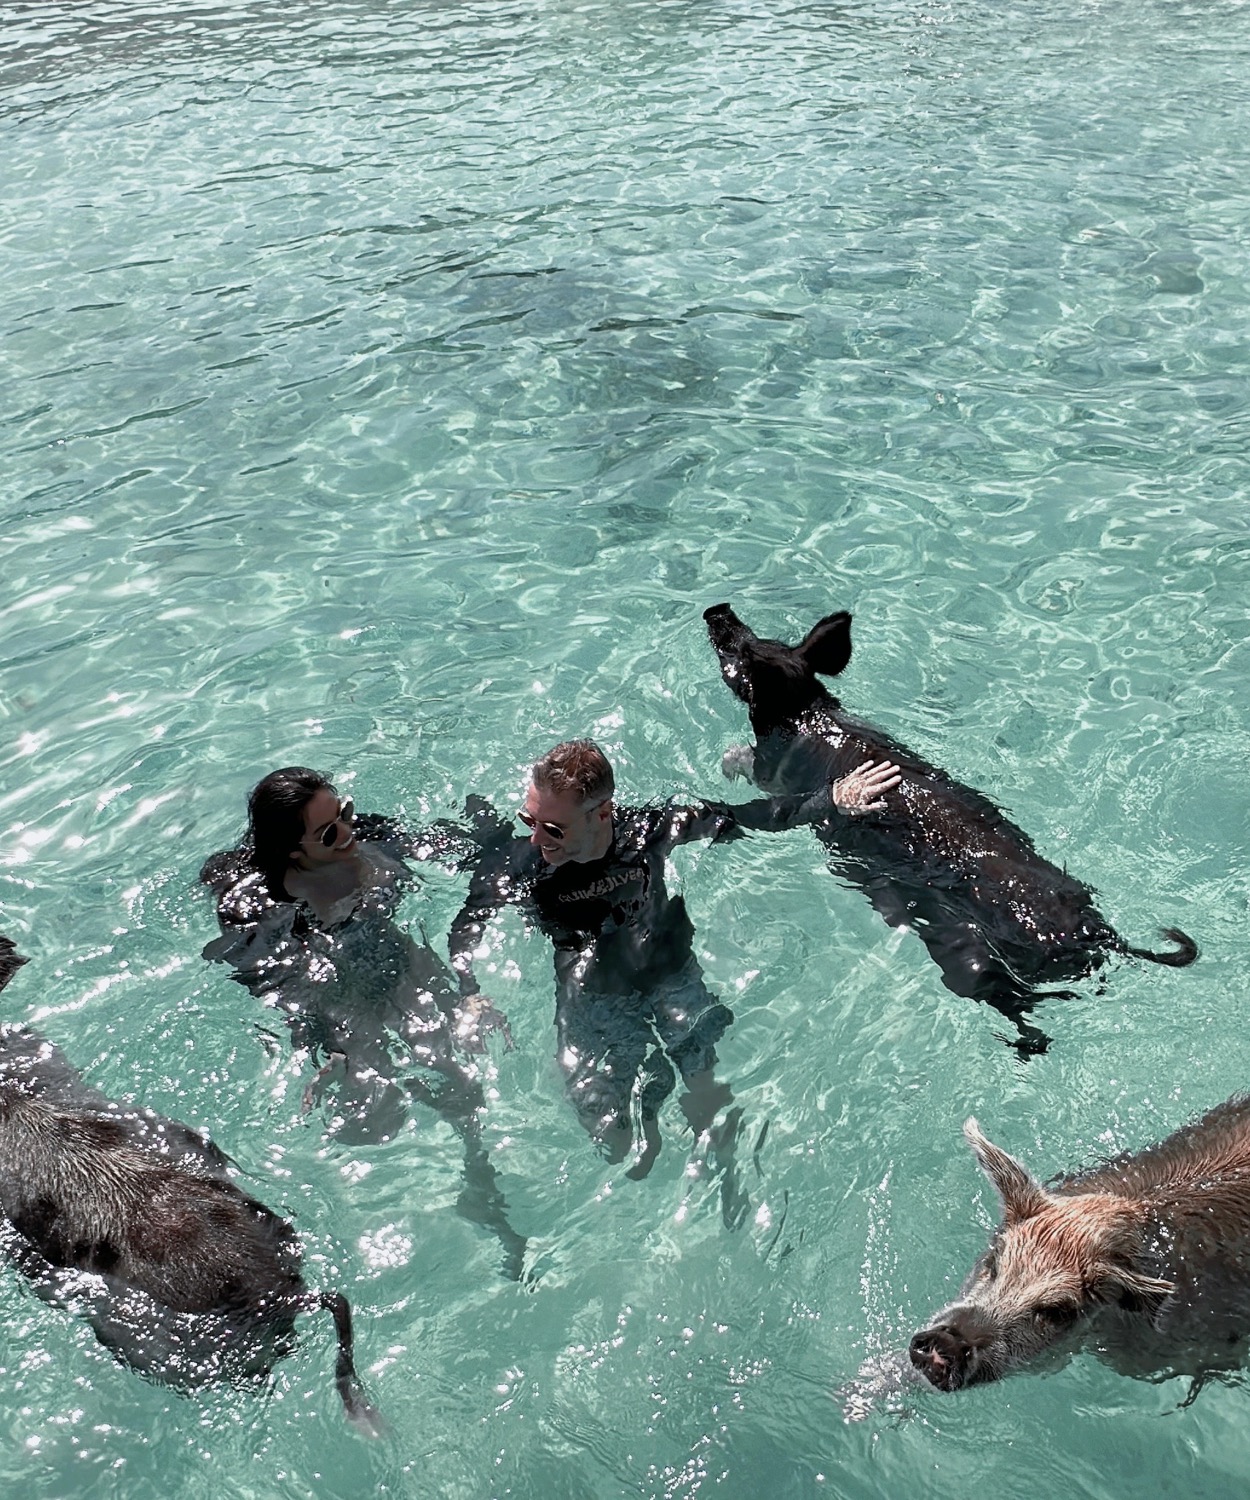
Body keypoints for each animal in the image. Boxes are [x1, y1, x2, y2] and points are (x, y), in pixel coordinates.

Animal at [703, 603, 1196, 1052]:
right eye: (759, 638)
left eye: (740, 654)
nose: (717, 611)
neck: (806, 717)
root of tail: (1101, 935)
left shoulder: (786, 790)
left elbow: (763, 798)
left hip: (967, 959)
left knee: (1019, 1009)